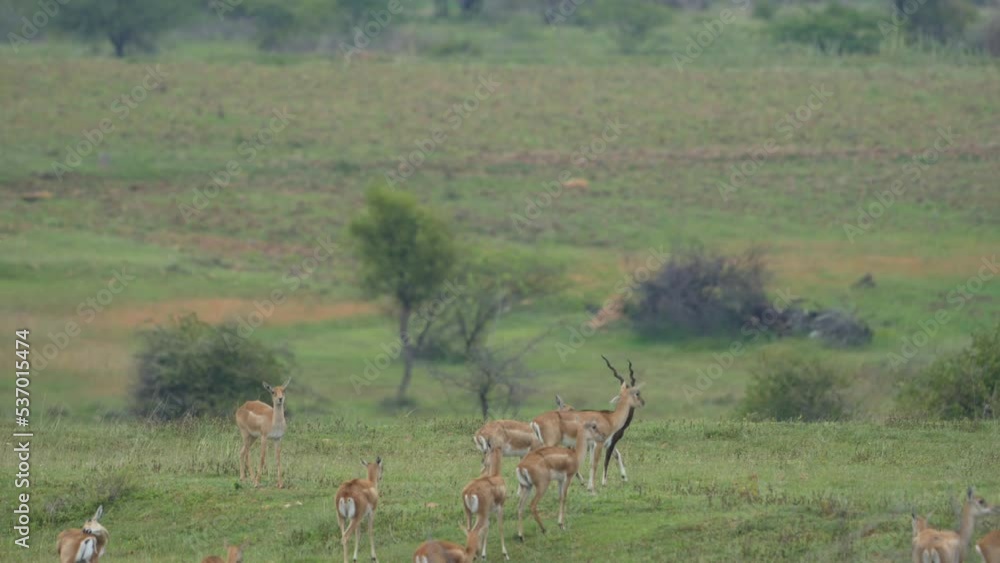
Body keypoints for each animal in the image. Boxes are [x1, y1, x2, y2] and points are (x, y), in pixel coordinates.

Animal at [531, 355, 644, 492]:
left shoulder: (596, 444)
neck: (610, 418)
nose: (643, 402)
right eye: (636, 393)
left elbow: (599, 461)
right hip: (552, 443)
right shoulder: (603, 443)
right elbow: (600, 462)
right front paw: (599, 485)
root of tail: (535, 421)